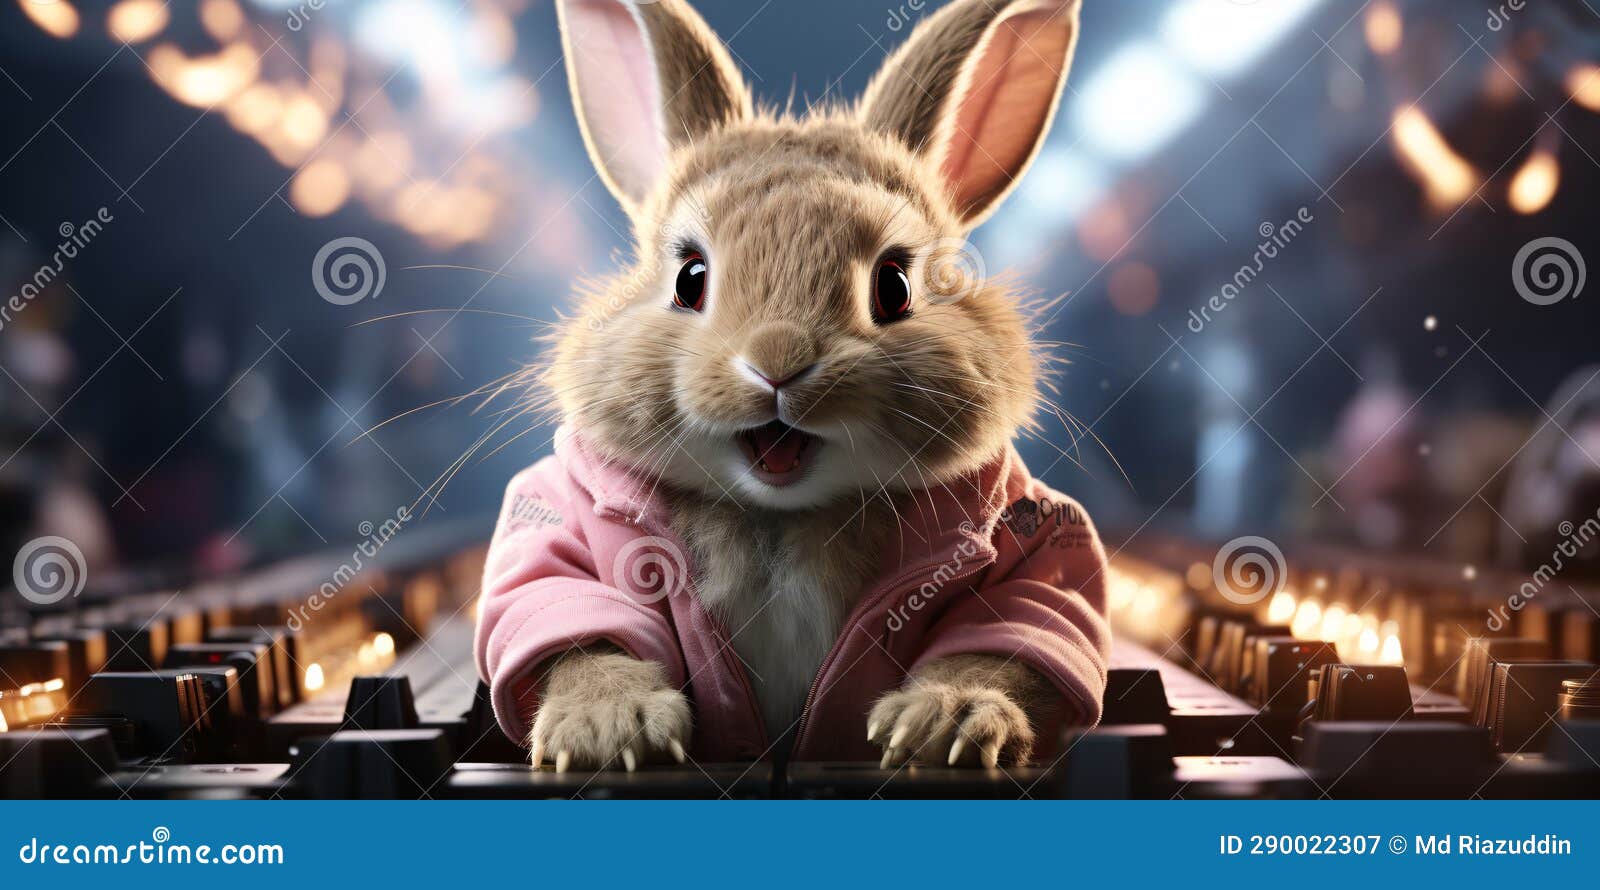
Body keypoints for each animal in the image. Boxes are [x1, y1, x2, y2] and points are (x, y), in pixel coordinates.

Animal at [475, 0, 1110, 774]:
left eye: (894, 286)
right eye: (690, 277)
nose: (777, 361)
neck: (778, 514)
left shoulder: (1031, 555)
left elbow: (1005, 641)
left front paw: (946, 722)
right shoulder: (556, 542)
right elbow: (576, 628)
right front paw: (610, 728)